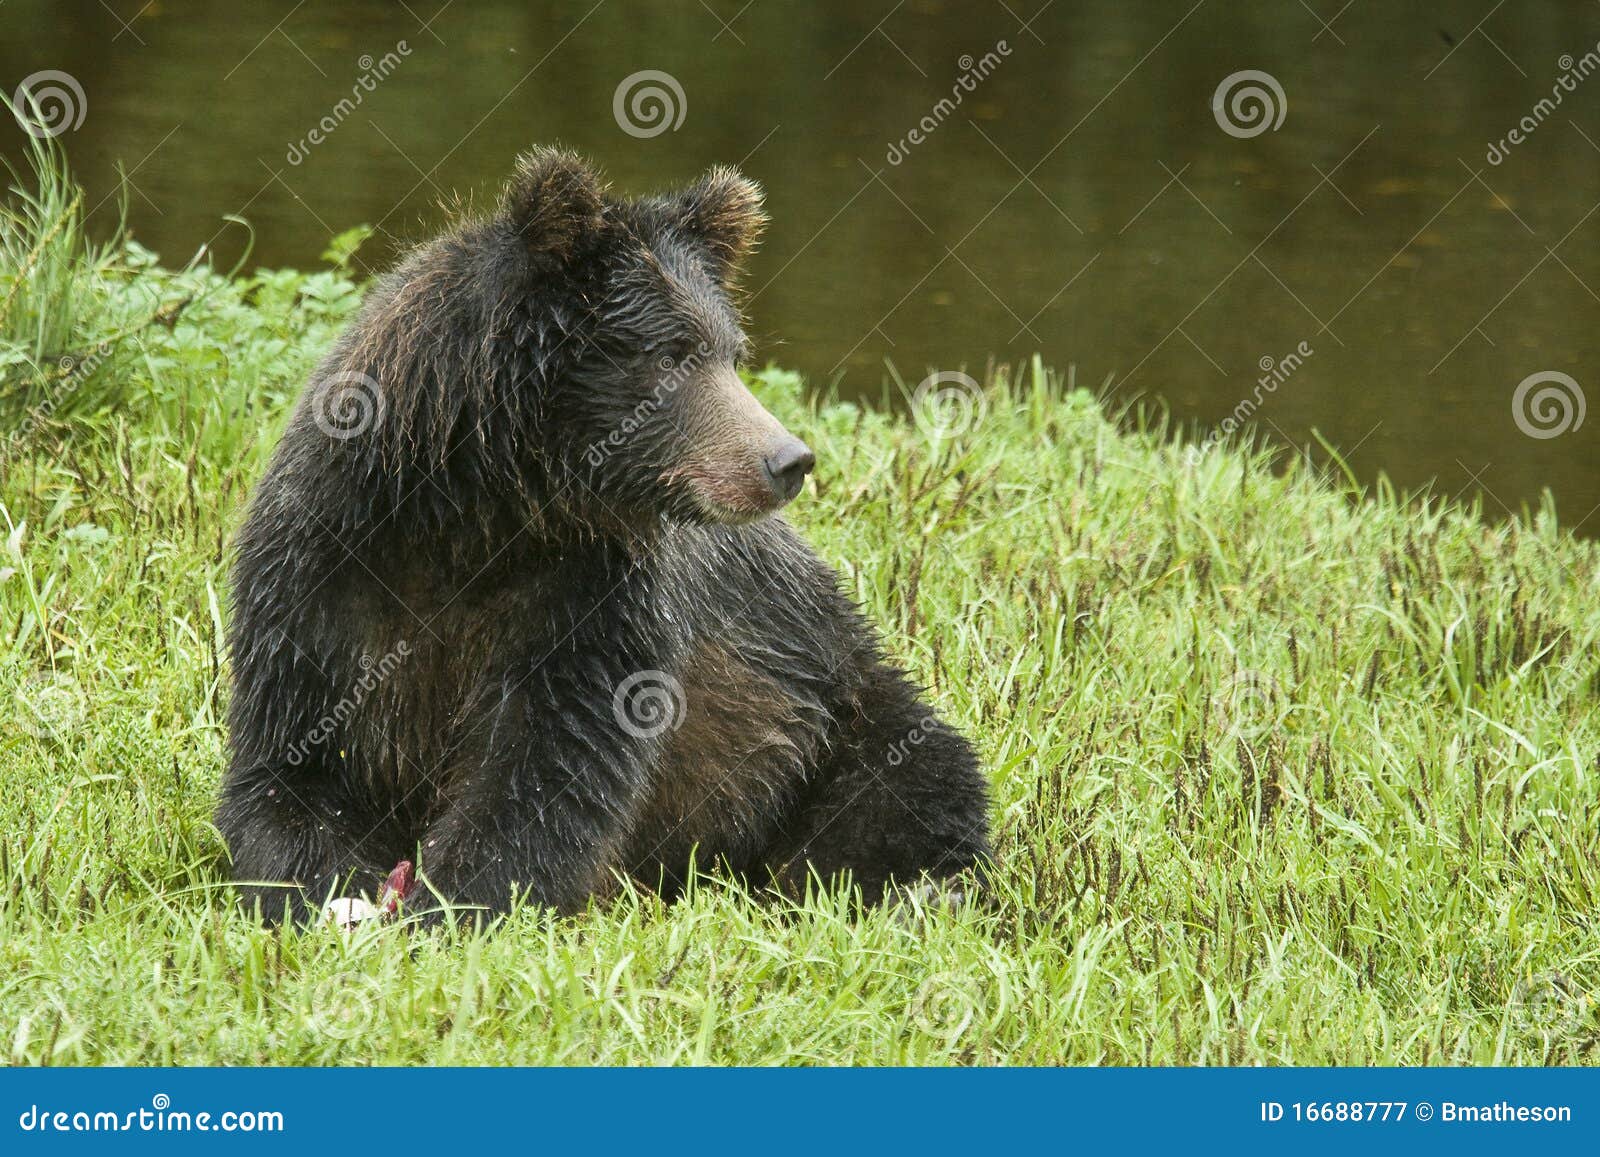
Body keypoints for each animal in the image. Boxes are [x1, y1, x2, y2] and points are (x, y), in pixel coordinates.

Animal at [217, 147, 991, 925]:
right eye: (672, 354)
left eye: (731, 352)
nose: (788, 460)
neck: (481, 511)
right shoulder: (329, 569)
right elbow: (291, 770)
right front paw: (328, 888)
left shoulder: (596, 596)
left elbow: (547, 771)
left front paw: (455, 901)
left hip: (827, 703)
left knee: (909, 779)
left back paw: (923, 883)